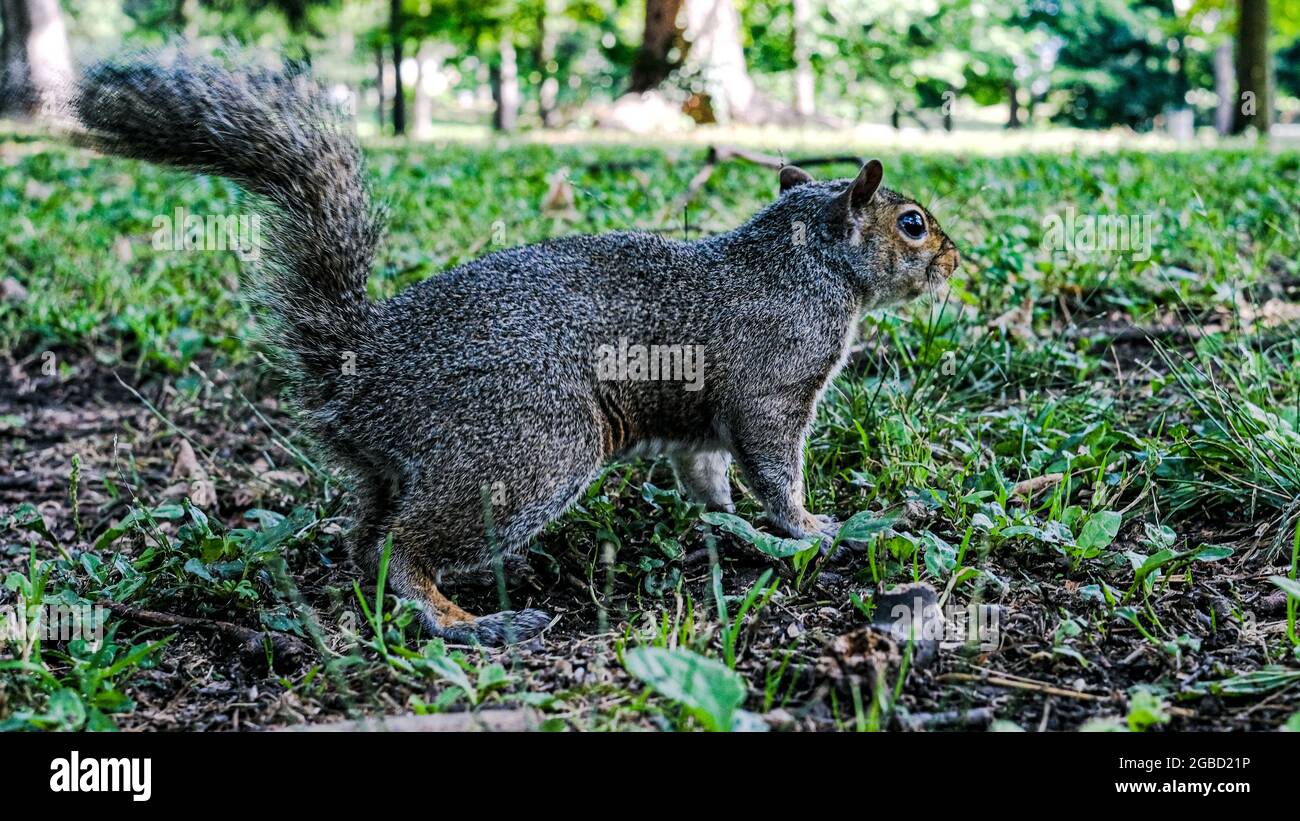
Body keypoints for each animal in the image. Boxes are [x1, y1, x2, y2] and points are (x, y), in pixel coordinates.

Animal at [71, 53, 959, 646]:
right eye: (913, 223)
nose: (957, 261)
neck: (805, 264)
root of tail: (360, 366)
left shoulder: (704, 422)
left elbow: (706, 476)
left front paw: (731, 525)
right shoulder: (773, 386)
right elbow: (774, 465)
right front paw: (812, 525)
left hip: (409, 465)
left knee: (365, 543)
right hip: (532, 445)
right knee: (401, 550)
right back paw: (471, 621)